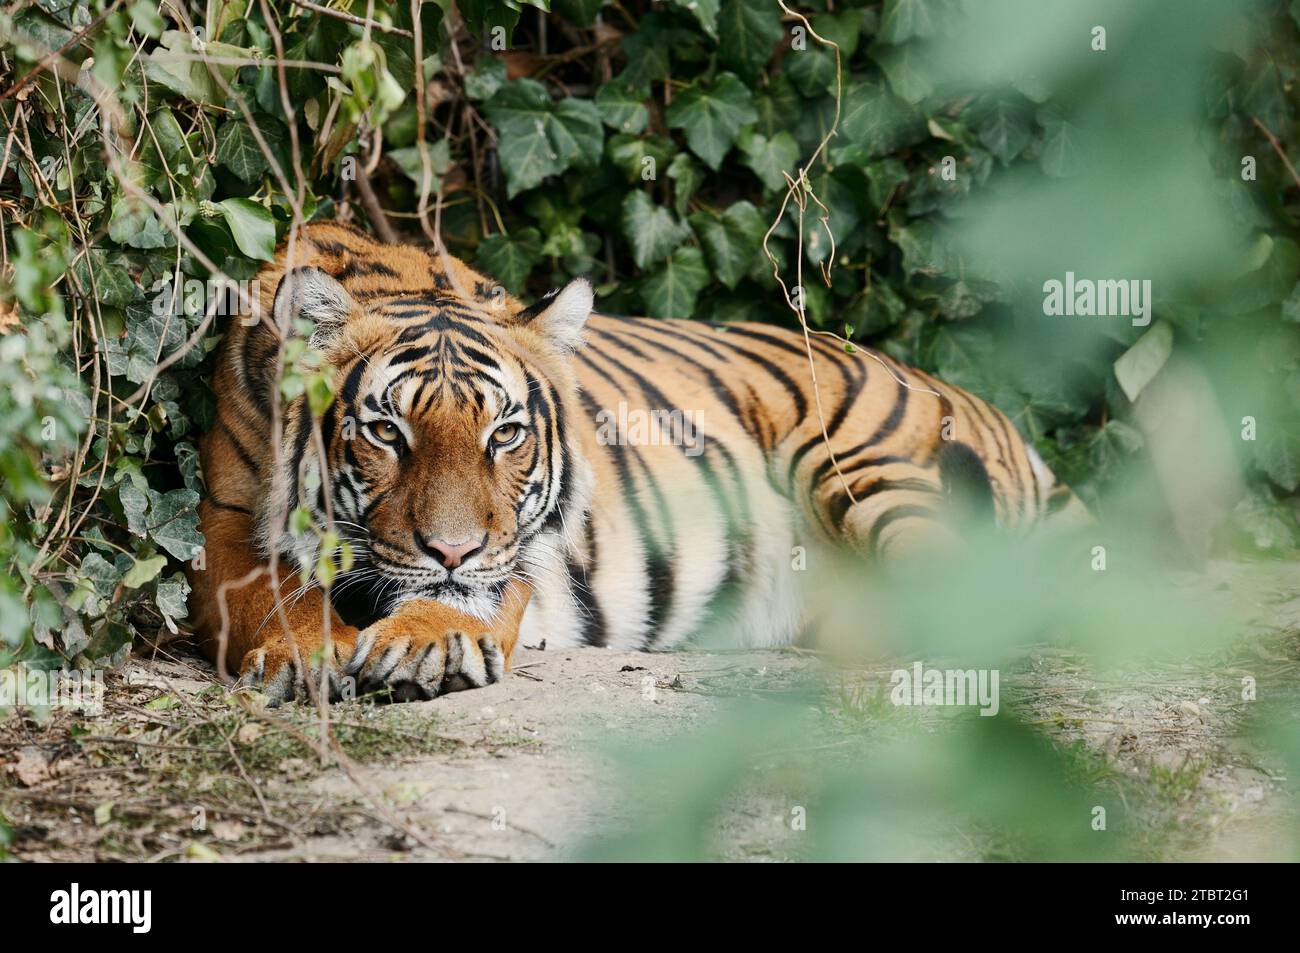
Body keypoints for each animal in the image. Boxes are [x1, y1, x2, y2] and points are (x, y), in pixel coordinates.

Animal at [186, 222, 1086, 704]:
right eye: (387, 433)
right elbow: (275, 595)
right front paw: (308, 653)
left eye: (504, 435)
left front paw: (425, 643)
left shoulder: (516, 557)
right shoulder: (221, 532)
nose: (452, 550)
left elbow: (478, 597)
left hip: (859, 459)